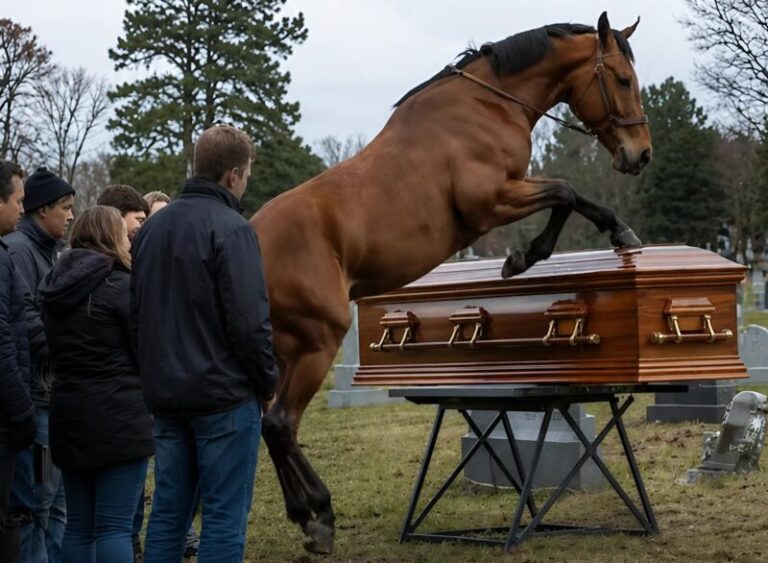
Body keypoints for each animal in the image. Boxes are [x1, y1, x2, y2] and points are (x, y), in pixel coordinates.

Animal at [251, 12, 652, 554]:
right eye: (624, 80)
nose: (641, 155)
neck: (490, 104)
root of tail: (244, 238)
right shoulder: (493, 199)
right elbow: (567, 193)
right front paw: (528, 256)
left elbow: (570, 197)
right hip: (317, 342)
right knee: (281, 423)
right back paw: (320, 514)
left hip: (283, 353)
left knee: (270, 426)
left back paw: (304, 514)